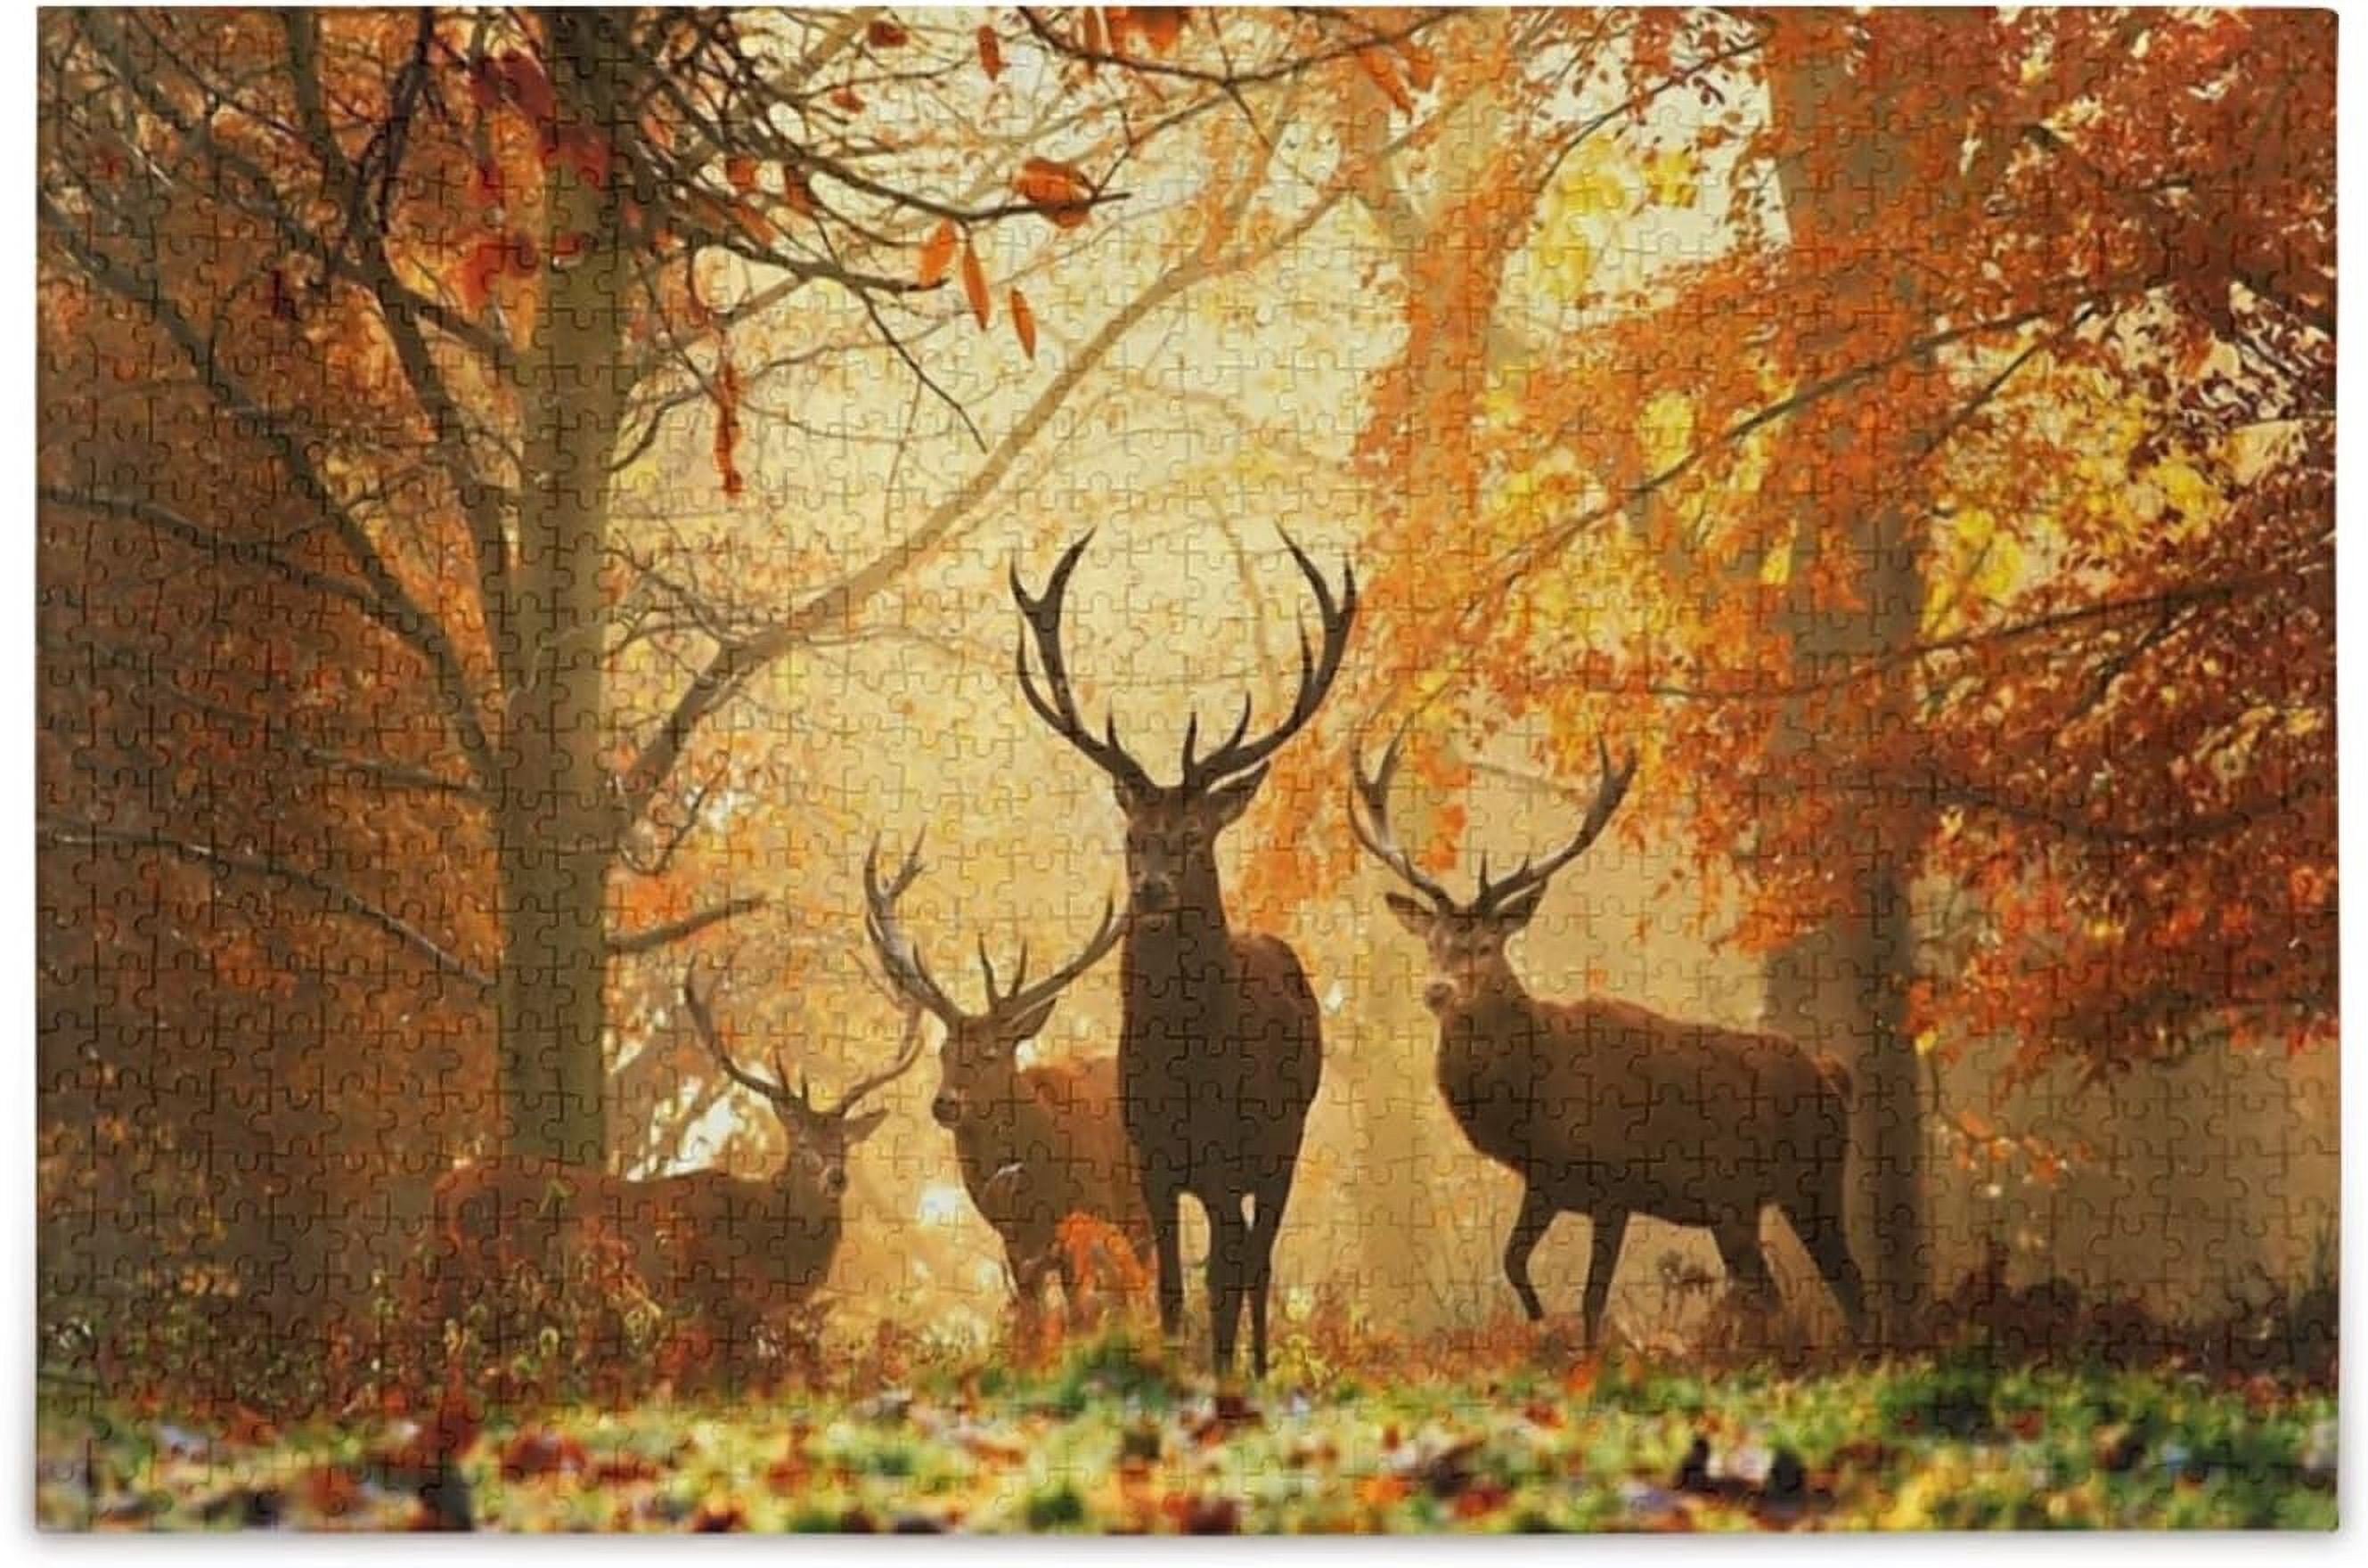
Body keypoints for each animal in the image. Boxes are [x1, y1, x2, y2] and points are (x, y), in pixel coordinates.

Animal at [428, 962, 920, 1376]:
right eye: (801, 1143)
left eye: (845, 1144)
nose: (836, 1178)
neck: (768, 1245)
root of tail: (445, 1185)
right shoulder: (709, 1300)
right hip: (495, 1269)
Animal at [860, 834, 1150, 1342]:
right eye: (943, 1050)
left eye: (993, 1052)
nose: (946, 1104)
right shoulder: (1016, 1245)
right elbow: (1034, 1323)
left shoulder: (1087, 1221)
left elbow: (1082, 1319)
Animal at [1011, 529, 1357, 1377]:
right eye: (1133, 837)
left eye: (1195, 836)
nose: (1152, 890)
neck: (1189, 1067)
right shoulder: (1154, 1161)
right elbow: (1170, 1288)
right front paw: (1171, 1365)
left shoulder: (1235, 1157)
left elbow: (1226, 1282)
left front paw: (1223, 1374)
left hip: (1286, 1143)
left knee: (1257, 1265)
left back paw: (1258, 1368)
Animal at [1347, 731, 1868, 1349]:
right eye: (1432, 944)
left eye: (1485, 947)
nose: (1437, 989)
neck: (1533, 1096)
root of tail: (1832, 1076)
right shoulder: (1547, 1183)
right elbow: (1513, 1263)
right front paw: (1541, 1327)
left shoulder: (1615, 1186)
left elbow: (1593, 1300)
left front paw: (1588, 1354)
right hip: (1740, 1204)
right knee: (1782, 1289)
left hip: (1810, 1182)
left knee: (1842, 1282)